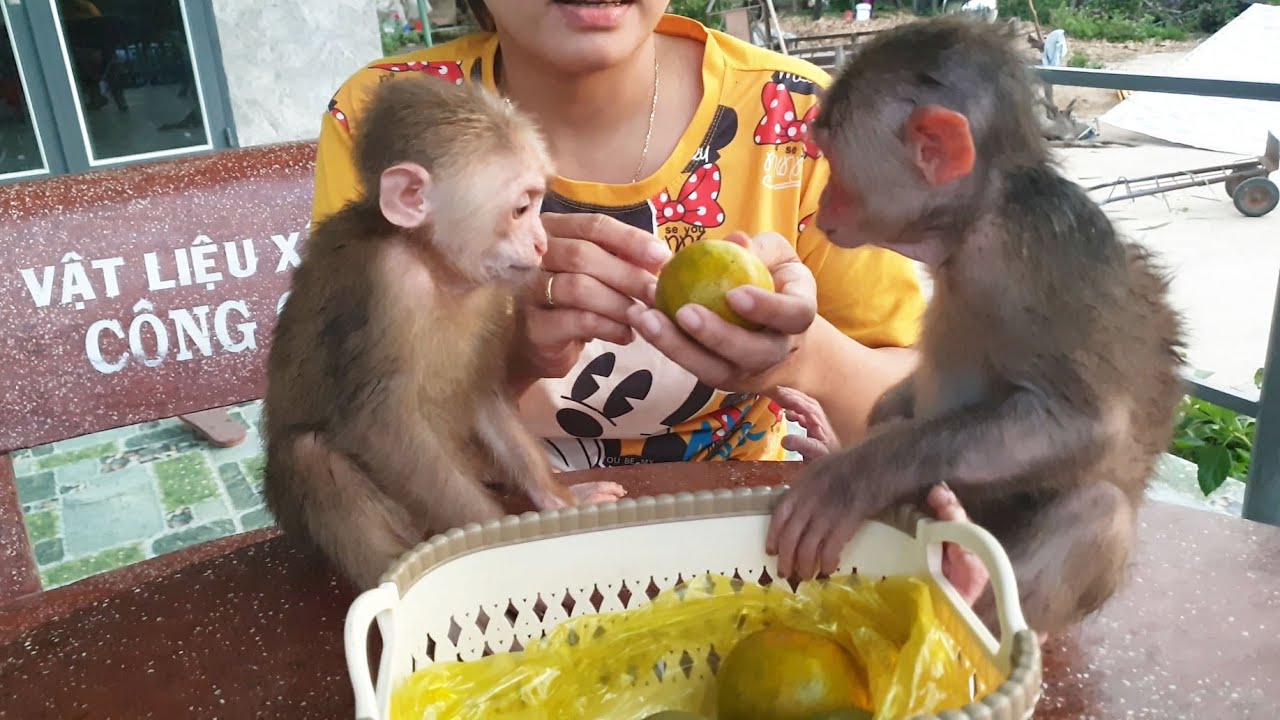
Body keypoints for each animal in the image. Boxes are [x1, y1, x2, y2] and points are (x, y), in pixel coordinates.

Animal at [261, 74, 627, 590]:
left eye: (538, 205)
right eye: (522, 209)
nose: (541, 243)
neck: (435, 265)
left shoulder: (492, 290)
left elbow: (483, 395)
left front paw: (558, 502)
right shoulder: (385, 282)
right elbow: (377, 424)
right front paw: (495, 548)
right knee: (308, 455)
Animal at [765, 16, 1186, 641]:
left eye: (835, 165)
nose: (822, 206)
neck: (972, 220)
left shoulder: (1019, 256)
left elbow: (1084, 423)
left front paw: (853, 477)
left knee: (1097, 510)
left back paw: (966, 585)